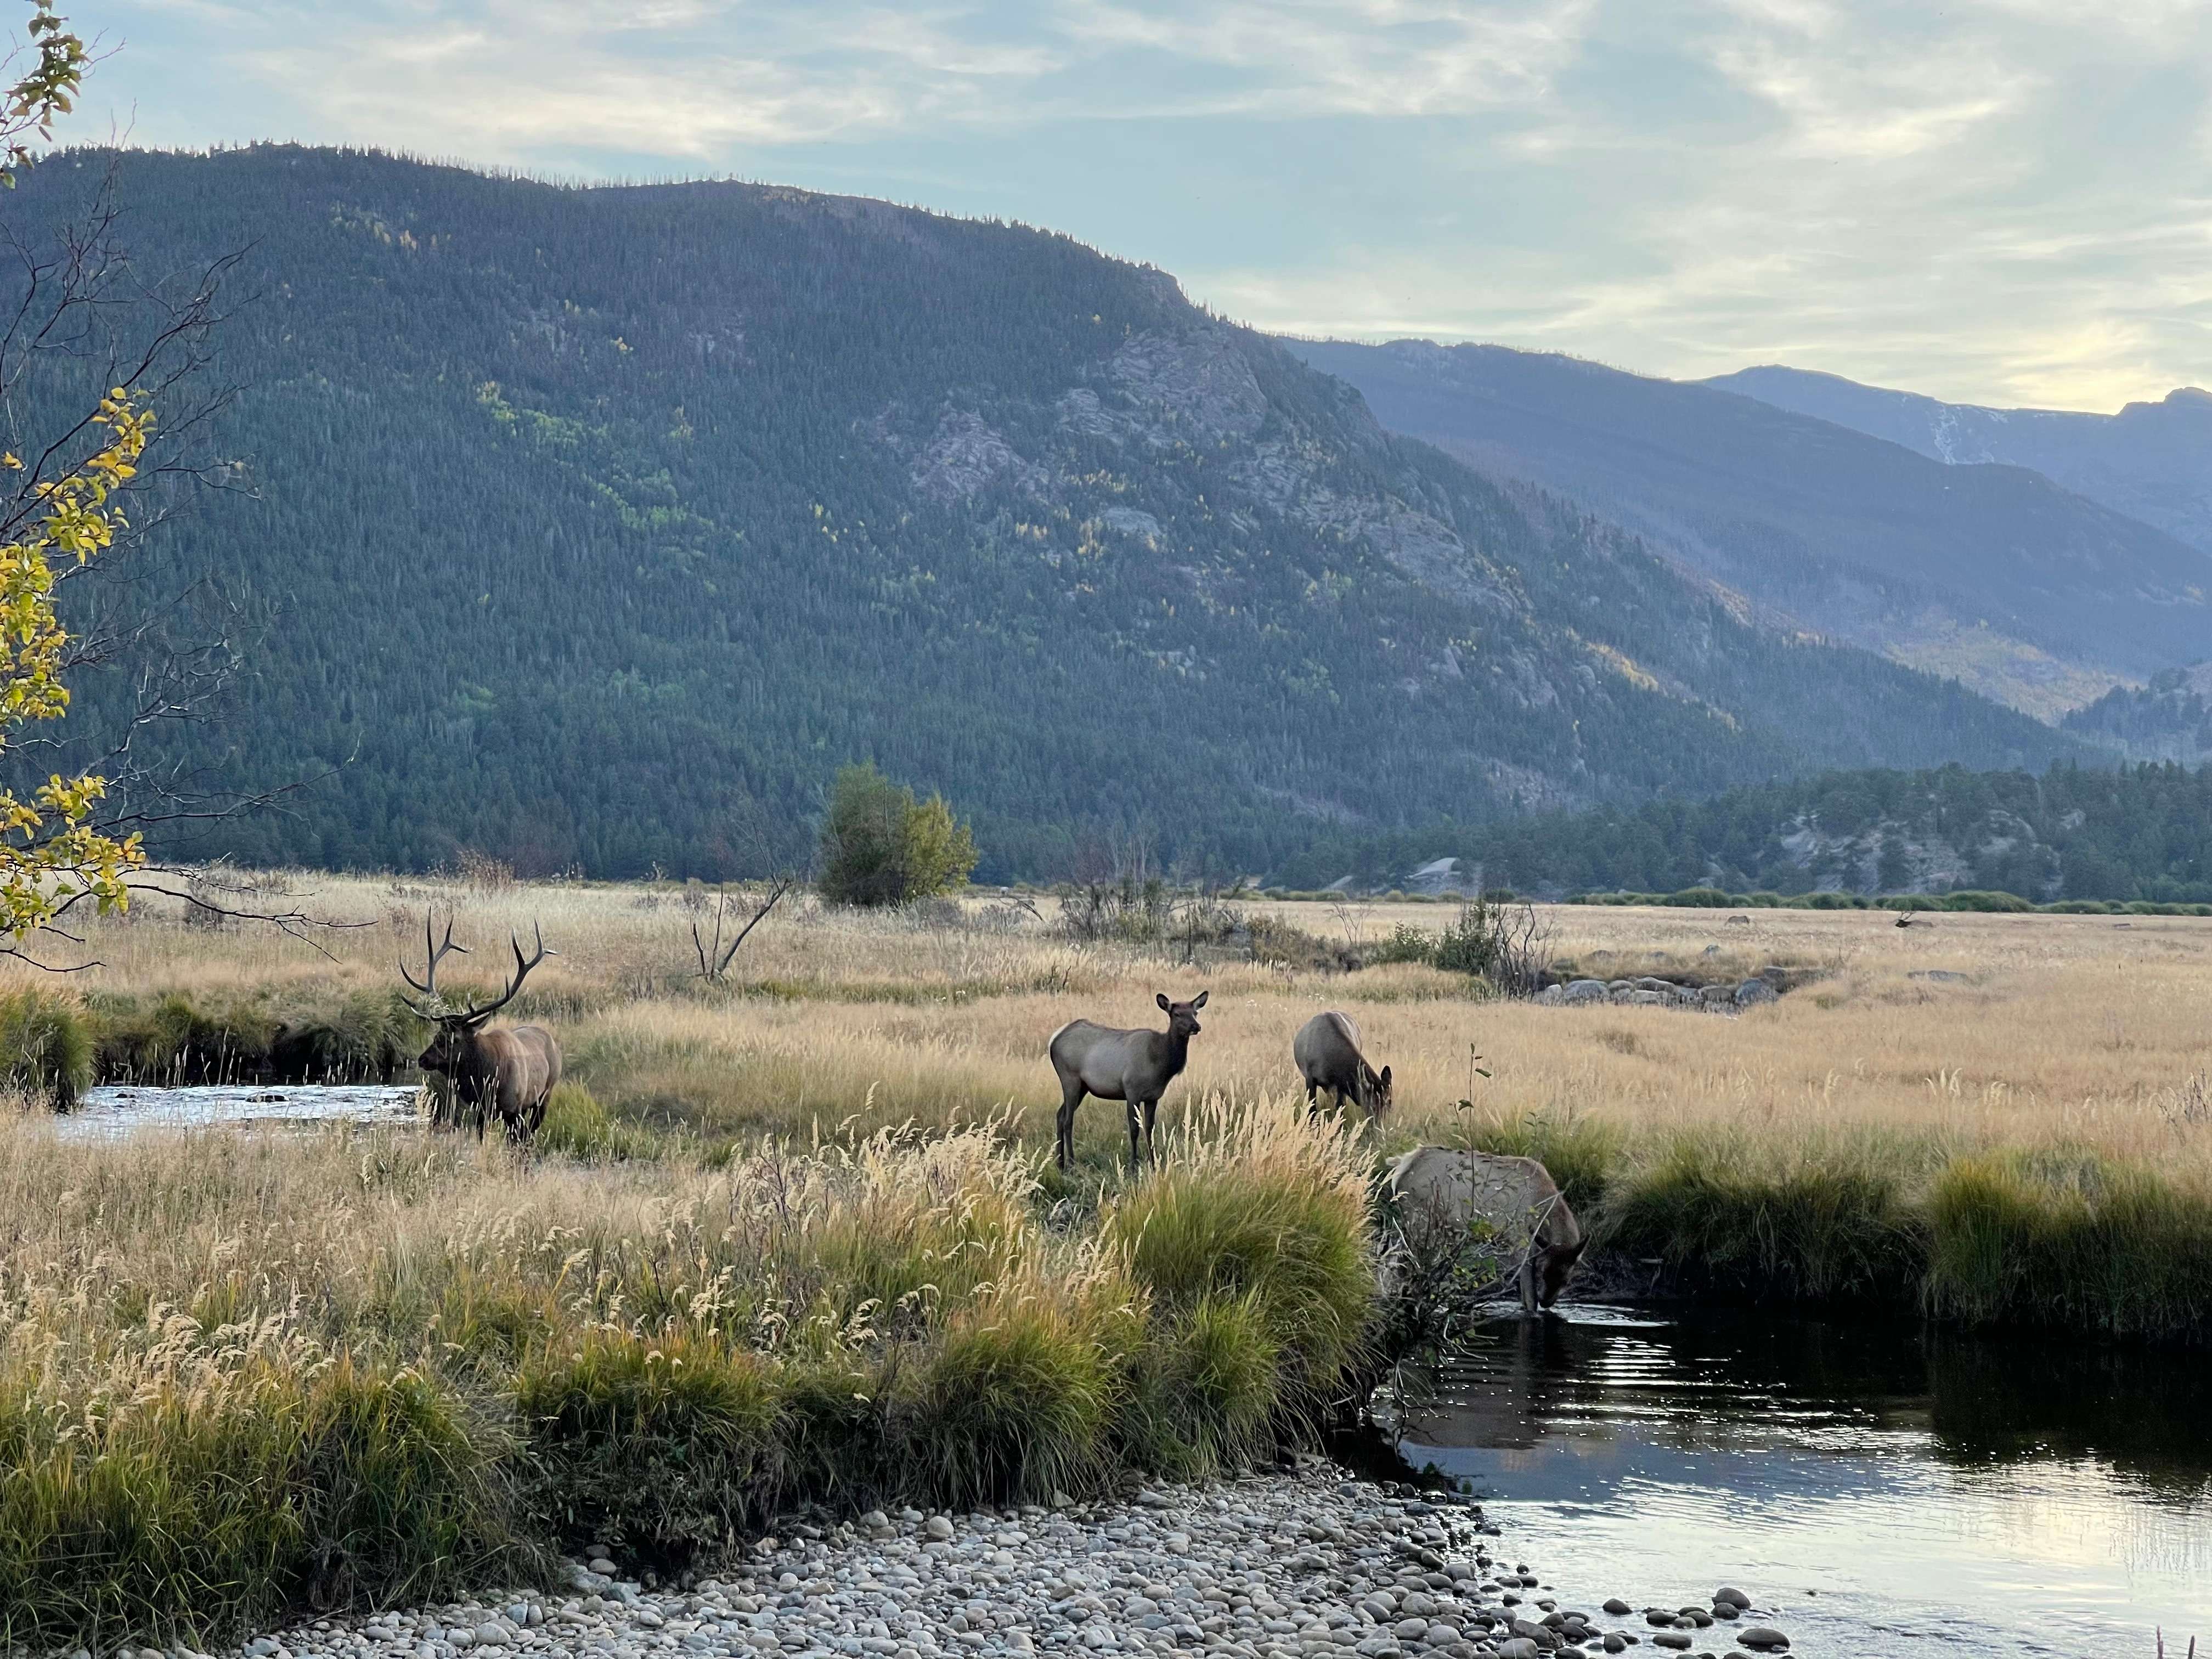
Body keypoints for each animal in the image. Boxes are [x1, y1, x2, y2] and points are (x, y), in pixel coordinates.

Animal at [399, 913, 562, 1143]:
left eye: (455, 1038)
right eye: (437, 1034)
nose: (423, 1059)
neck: (486, 1079)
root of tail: (553, 1041)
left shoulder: (514, 1109)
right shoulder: (479, 1110)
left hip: (545, 1094)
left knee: (530, 1133)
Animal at [1049, 991, 1207, 1171]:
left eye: (1195, 1013)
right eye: (1177, 1014)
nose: (1196, 1026)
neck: (1162, 1064)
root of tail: (1053, 1040)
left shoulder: (1153, 1097)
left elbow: (1150, 1129)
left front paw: (1153, 1164)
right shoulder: (1132, 1091)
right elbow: (1134, 1130)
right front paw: (1133, 1166)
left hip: (1083, 1087)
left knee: (1060, 1115)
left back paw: (1060, 1162)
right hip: (1070, 1078)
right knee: (1068, 1120)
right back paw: (1071, 1163)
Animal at [1294, 1010, 1392, 1122]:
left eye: (1389, 1102)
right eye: (1373, 1105)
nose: (1378, 1123)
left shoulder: (1340, 1084)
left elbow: (1340, 1108)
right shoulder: (1310, 1079)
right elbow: (1312, 1109)